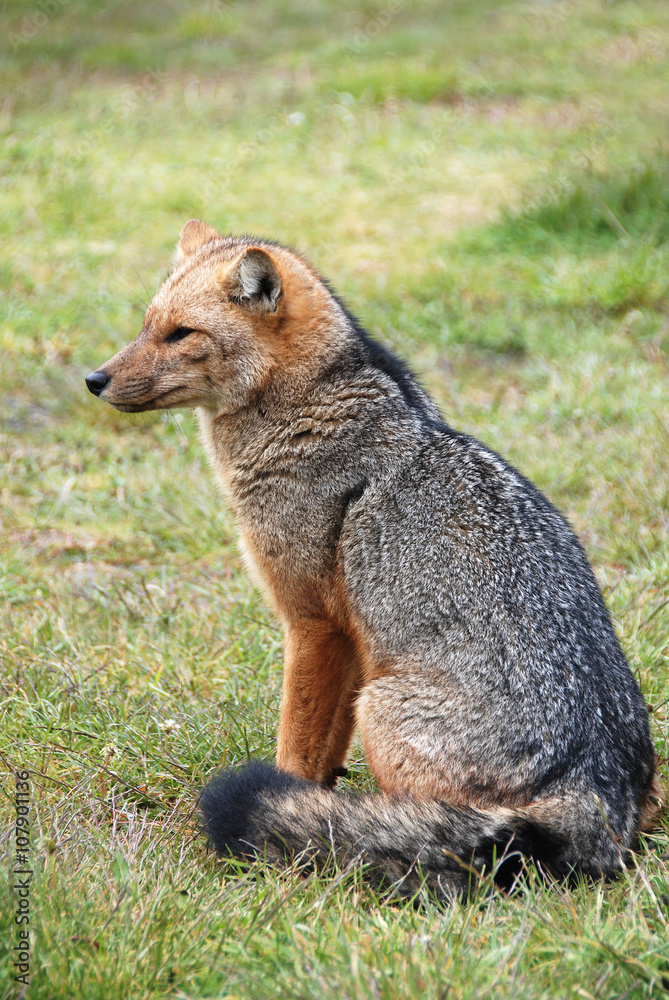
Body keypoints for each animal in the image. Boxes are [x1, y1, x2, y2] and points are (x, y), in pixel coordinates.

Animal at [86, 219, 662, 898]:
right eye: (146, 324)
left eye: (181, 334)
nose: (94, 380)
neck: (305, 417)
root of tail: (598, 794)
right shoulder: (353, 642)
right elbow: (323, 754)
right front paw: (311, 806)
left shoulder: (314, 625)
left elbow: (297, 750)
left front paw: (287, 814)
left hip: (381, 710)